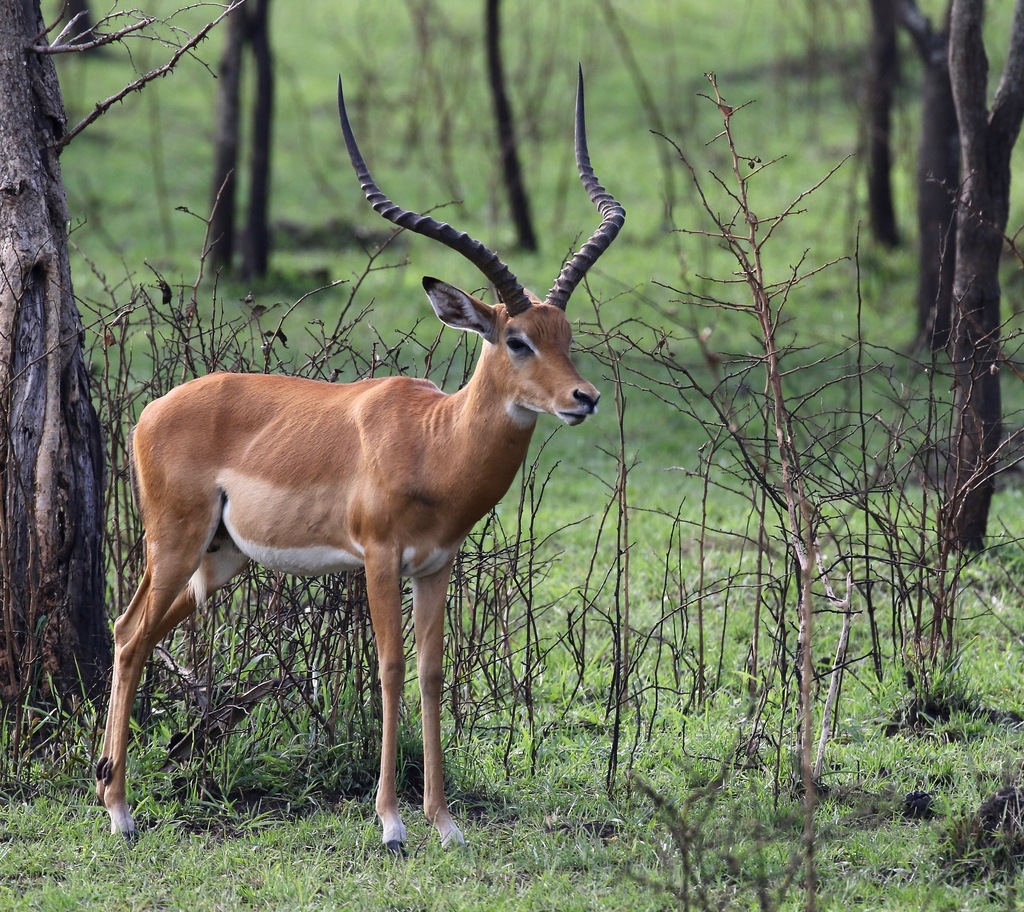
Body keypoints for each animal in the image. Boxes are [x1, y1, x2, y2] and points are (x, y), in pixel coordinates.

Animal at [95, 68, 624, 852]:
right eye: (517, 340)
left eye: (566, 334)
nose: (582, 398)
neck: (434, 441)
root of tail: (153, 409)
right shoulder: (378, 558)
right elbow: (391, 667)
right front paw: (392, 823)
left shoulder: (435, 566)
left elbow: (433, 673)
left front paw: (445, 823)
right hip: (175, 542)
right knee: (129, 634)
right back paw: (121, 813)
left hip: (220, 558)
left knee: (133, 631)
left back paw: (111, 793)